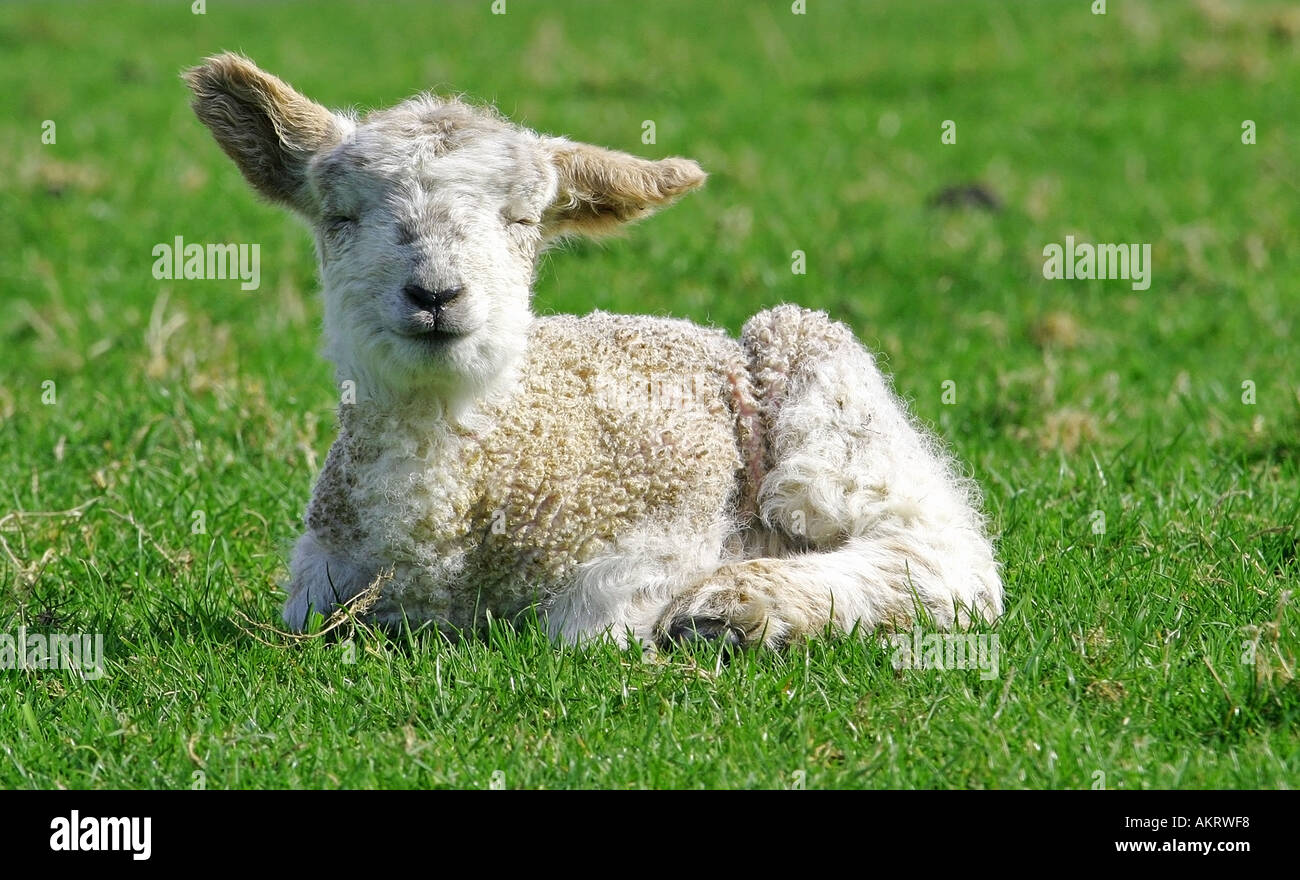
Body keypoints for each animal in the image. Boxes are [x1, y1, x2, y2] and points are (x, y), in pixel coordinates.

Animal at [184, 53, 1003, 650]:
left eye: (521, 221)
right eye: (342, 217)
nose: (436, 294)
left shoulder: (654, 543)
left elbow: (590, 631)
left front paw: (710, 603)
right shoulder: (319, 577)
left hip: (815, 373)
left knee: (940, 556)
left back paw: (740, 604)